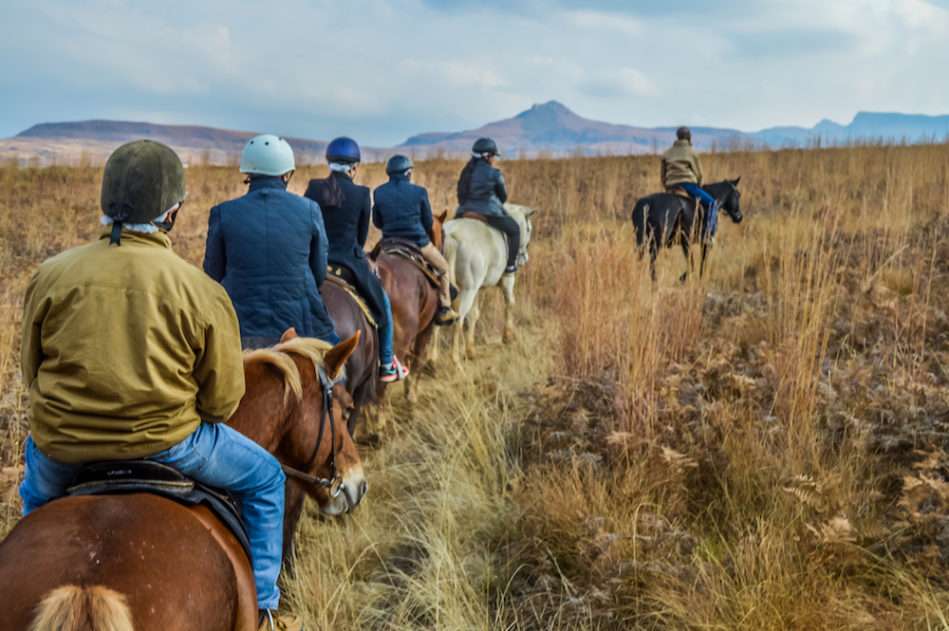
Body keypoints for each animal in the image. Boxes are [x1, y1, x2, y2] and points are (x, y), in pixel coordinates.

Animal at [435, 203, 535, 367]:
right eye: (528, 229)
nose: (524, 258)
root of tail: (451, 238)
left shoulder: (477, 288)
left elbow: (474, 314)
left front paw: (470, 350)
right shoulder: (506, 280)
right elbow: (510, 302)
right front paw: (508, 336)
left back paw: (432, 360)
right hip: (468, 291)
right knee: (458, 320)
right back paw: (455, 362)